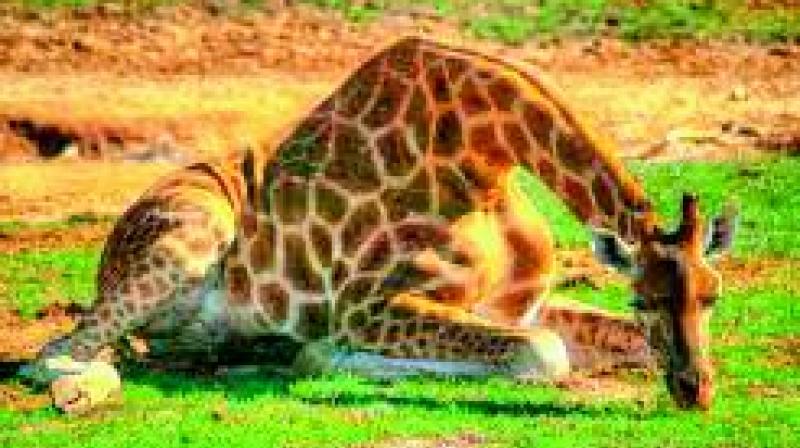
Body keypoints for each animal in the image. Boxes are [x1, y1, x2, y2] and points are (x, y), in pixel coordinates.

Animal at [21, 37, 736, 413]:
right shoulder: (369, 305)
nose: (696, 392)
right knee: (57, 350)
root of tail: (106, 254)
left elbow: (583, 340)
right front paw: (321, 357)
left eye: (713, 297)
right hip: (192, 237)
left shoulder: (520, 305)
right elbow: (542, 354)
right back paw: (82, 391)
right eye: (645, 297)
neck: (486, 160)